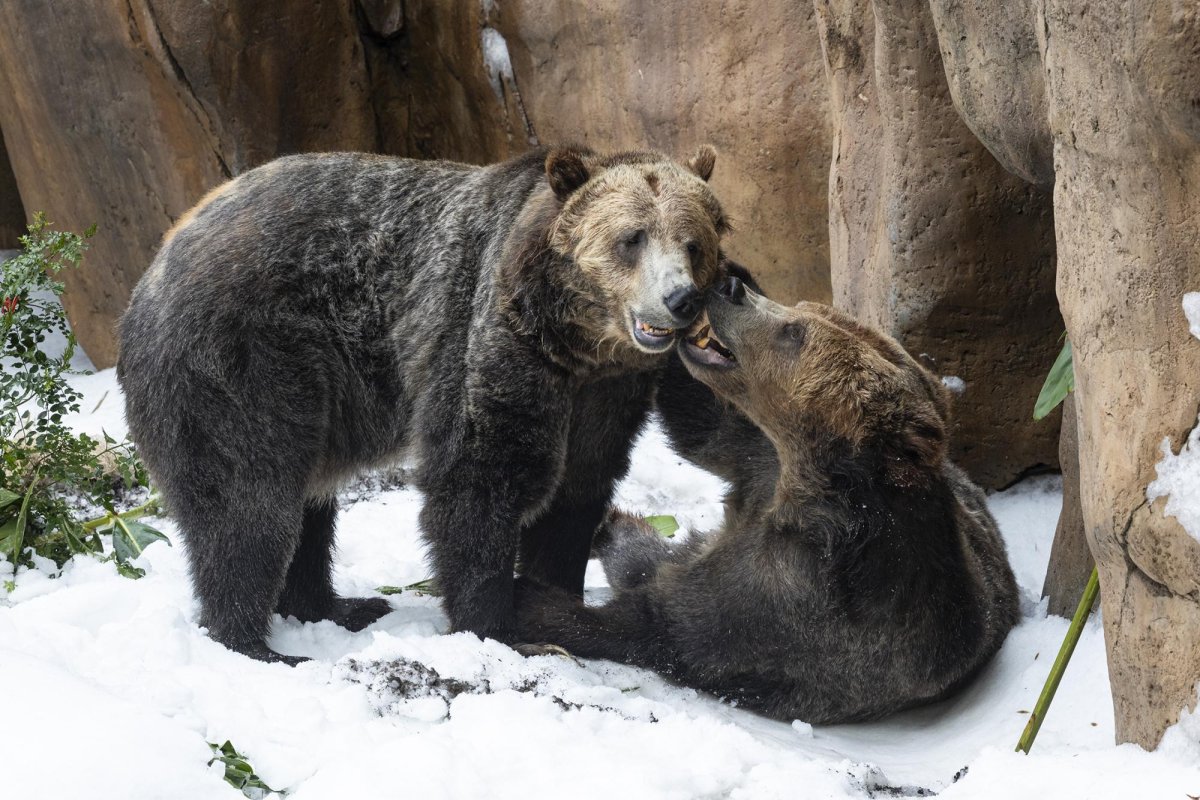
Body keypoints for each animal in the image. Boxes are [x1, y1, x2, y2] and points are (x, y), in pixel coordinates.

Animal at [117, 145, 729, 663]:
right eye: (632, 238)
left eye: (694, 242)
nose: (680, 299)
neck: (575, 343)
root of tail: (155, 266)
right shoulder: (491, 340)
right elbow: (479, 477)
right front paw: (499, 627)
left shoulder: (608, 395)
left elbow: (577, 491)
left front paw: (553, 604)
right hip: (246, 359)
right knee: (247, 498)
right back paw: (256, 642)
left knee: (305, 500)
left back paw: (339, 605)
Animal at [515, 271, 1021, 724]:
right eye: (800, 310)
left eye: (794, 333)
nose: (729, 288)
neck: (800, 479)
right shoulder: (758, 461)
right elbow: (701, 425)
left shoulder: (796, 599)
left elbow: (667, 623)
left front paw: (530, 604)